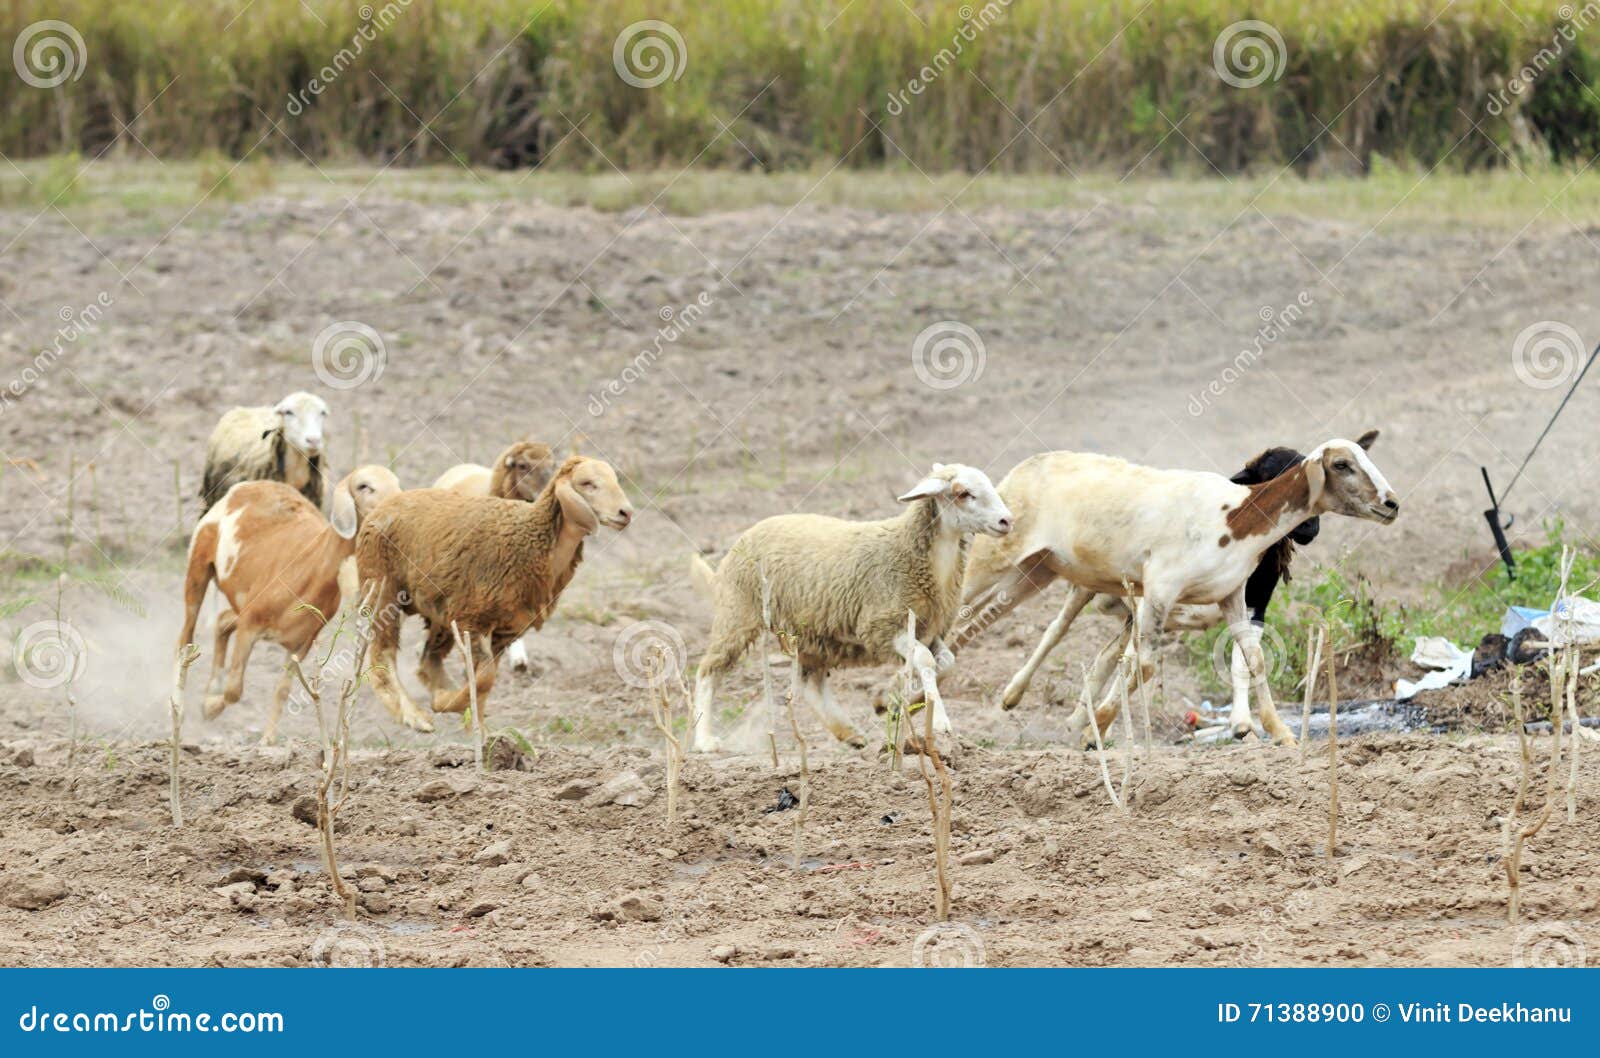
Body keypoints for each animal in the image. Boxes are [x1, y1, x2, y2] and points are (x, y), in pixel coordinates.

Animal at [177, 464, 402, 742]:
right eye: (364, 486)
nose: (396, 508)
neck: (311, 568)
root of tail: (247, 486)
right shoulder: (250, 626)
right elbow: (235, 689)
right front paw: (208, 708)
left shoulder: (300, 644)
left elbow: (282, 691)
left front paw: (268, 741)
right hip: (199, 565)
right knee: (186, 637)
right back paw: (178, 705)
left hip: (242, 603)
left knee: (222, 621)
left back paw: (211, 687)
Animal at [687, 463, 1013, 753]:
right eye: (963, 493)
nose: (1006, 521)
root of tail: (748, 534)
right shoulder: (883, 627)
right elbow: (925, 660)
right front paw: (941, 723)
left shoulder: (930, 629)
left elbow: (946, 662)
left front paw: (895, 700)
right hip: (738, 612)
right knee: (708, 671)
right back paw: (704, 740)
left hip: (813, 633)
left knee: (810, 683)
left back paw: (848, 733)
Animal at [953, 434, 1396, 746]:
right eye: (1342, 464)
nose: (1392, 504)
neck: (1236, 519)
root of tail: (1028, 465)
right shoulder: (1159, 592)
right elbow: (1143, 664)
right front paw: (1095, 729)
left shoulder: (1235, 597)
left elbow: (1252, 660)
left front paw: (1279, 732)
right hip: (993, 559)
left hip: (1034, 570)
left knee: (965, 630)